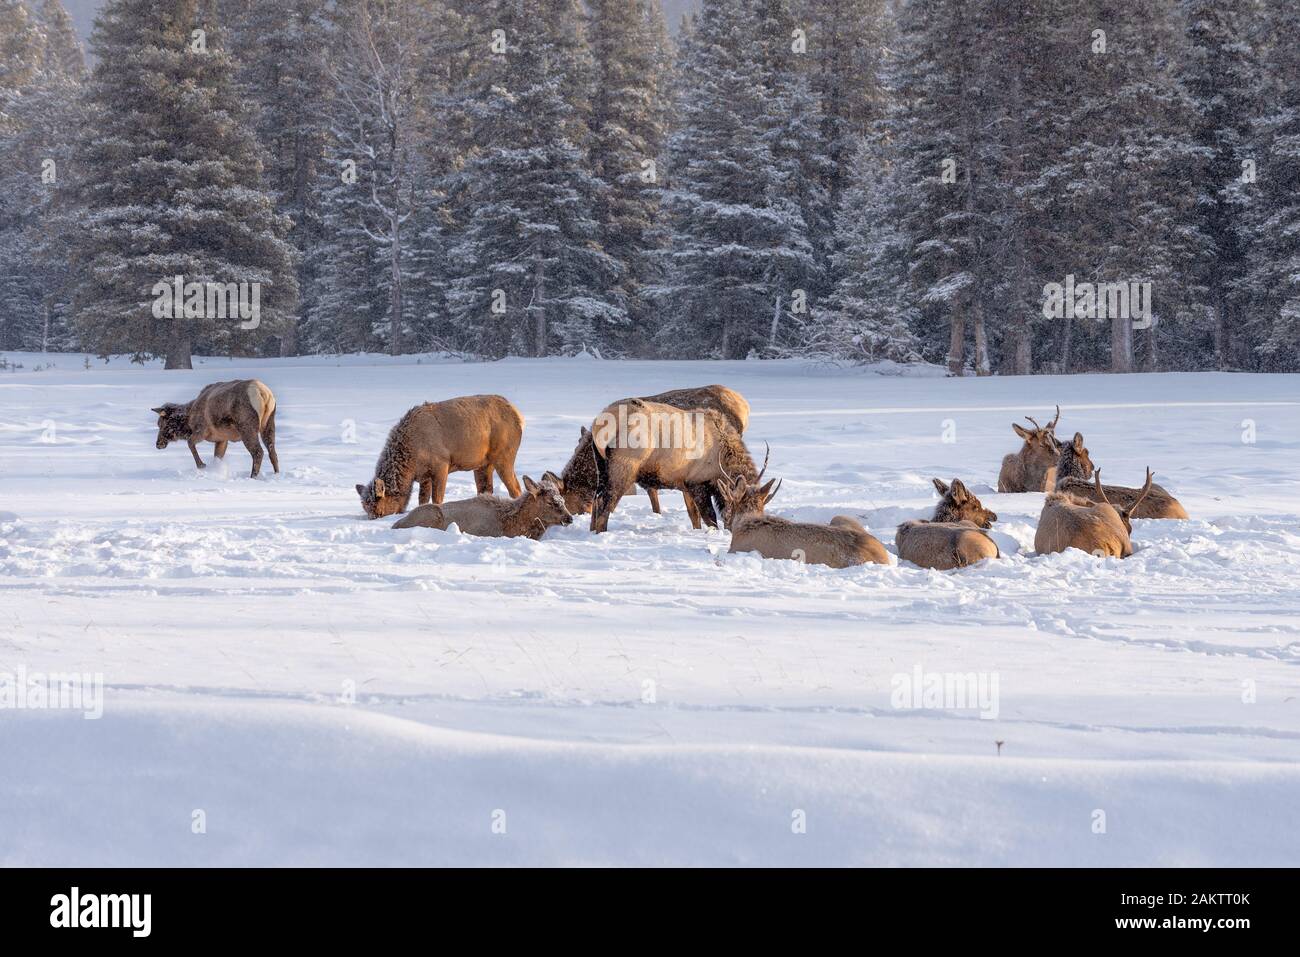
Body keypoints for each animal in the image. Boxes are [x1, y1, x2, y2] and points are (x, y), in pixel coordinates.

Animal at [356, 394, 524, 520]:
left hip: (504, 456)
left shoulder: (441, 465)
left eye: (379, 511)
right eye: (366, 509)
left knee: (515, 488)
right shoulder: (424, 476)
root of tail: (519, 416)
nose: (373, 518)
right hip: (483, 464)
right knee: (485, 489)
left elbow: (437, 499)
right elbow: (422, 500)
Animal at [589, 401, 762, 533]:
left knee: (596, 500)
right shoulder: (697, 482)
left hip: (601, 465)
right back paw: (601, 532)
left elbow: (694, 517)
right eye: (743, 510)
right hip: (625, 466)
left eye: (761, 510)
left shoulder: (685, 484)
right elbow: (710, 517)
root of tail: (600, 424)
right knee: (605, 503)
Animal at [718, 473, 889, 568]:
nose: (725, 520)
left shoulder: (736, 550)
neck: (744, 522)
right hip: (839, 517)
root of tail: (885, 557)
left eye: (730, 504)